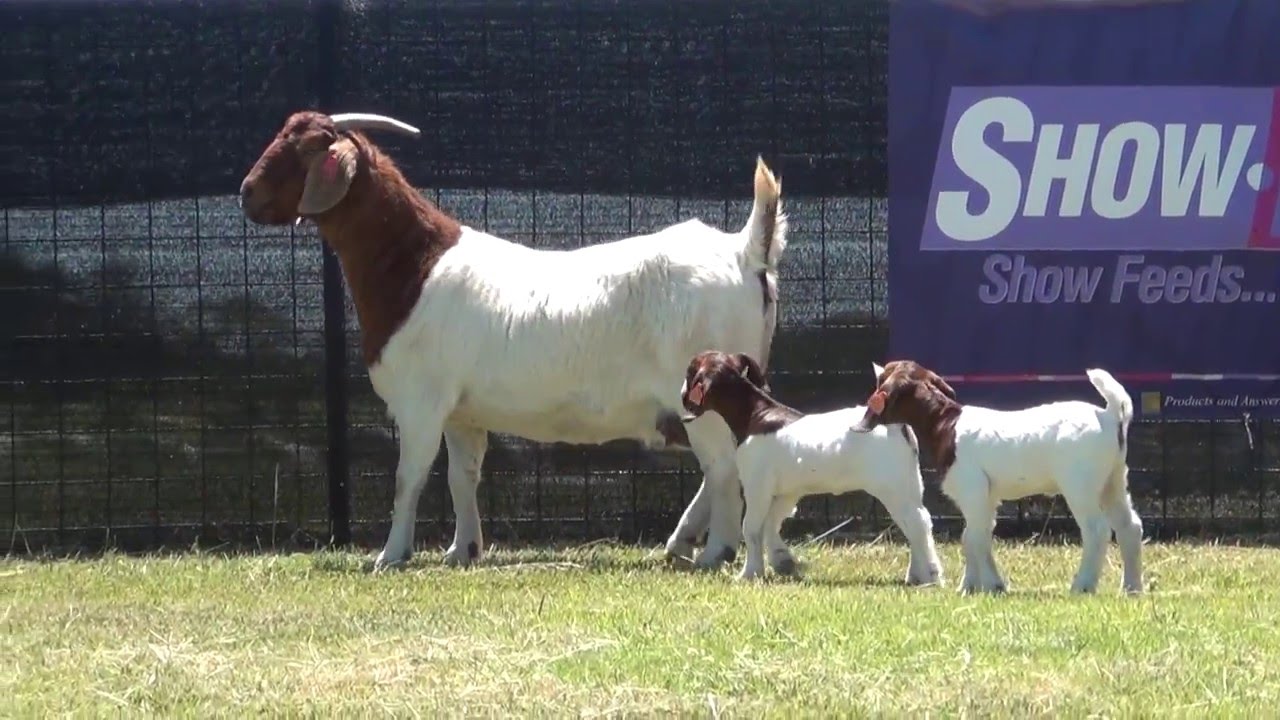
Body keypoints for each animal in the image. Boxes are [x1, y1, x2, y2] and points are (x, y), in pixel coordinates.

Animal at [238, 111, 789, 570]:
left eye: (303, 149)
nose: (246, 193)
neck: (415, 266)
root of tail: (743, 252)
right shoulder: (461, 412)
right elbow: (463, 475)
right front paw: (462, 551)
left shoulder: (421, 401)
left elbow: (408, 477)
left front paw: (390, 556)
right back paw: (686, 544)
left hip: (703, 391)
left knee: (722, 467)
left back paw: (714, 552)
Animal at [677, 350, 943, 584]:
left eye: (690, 372)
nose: (682, 396)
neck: (757, 416)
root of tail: (896, 424)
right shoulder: (787, 493)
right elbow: (770, 524)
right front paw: (783, 563)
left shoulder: (757, 486)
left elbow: (751, 528)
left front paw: (749, 573)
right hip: (909, 485)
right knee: (916, 523)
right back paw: (916, 575)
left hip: (894, 486)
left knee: (917, 523)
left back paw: (931, 576)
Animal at [852, 360, 1144, 594]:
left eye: (880, 382)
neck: (946, 424)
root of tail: (1111, 415)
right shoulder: (986, 497)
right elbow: (974, 535)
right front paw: (976, 585)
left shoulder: (972, 489)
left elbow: (975, 537)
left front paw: (985, 585)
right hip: (1114, 480)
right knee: (1129, 525)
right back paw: (1132, 587)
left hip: (1080, 483)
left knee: (1097, 529)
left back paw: (1082, 585)